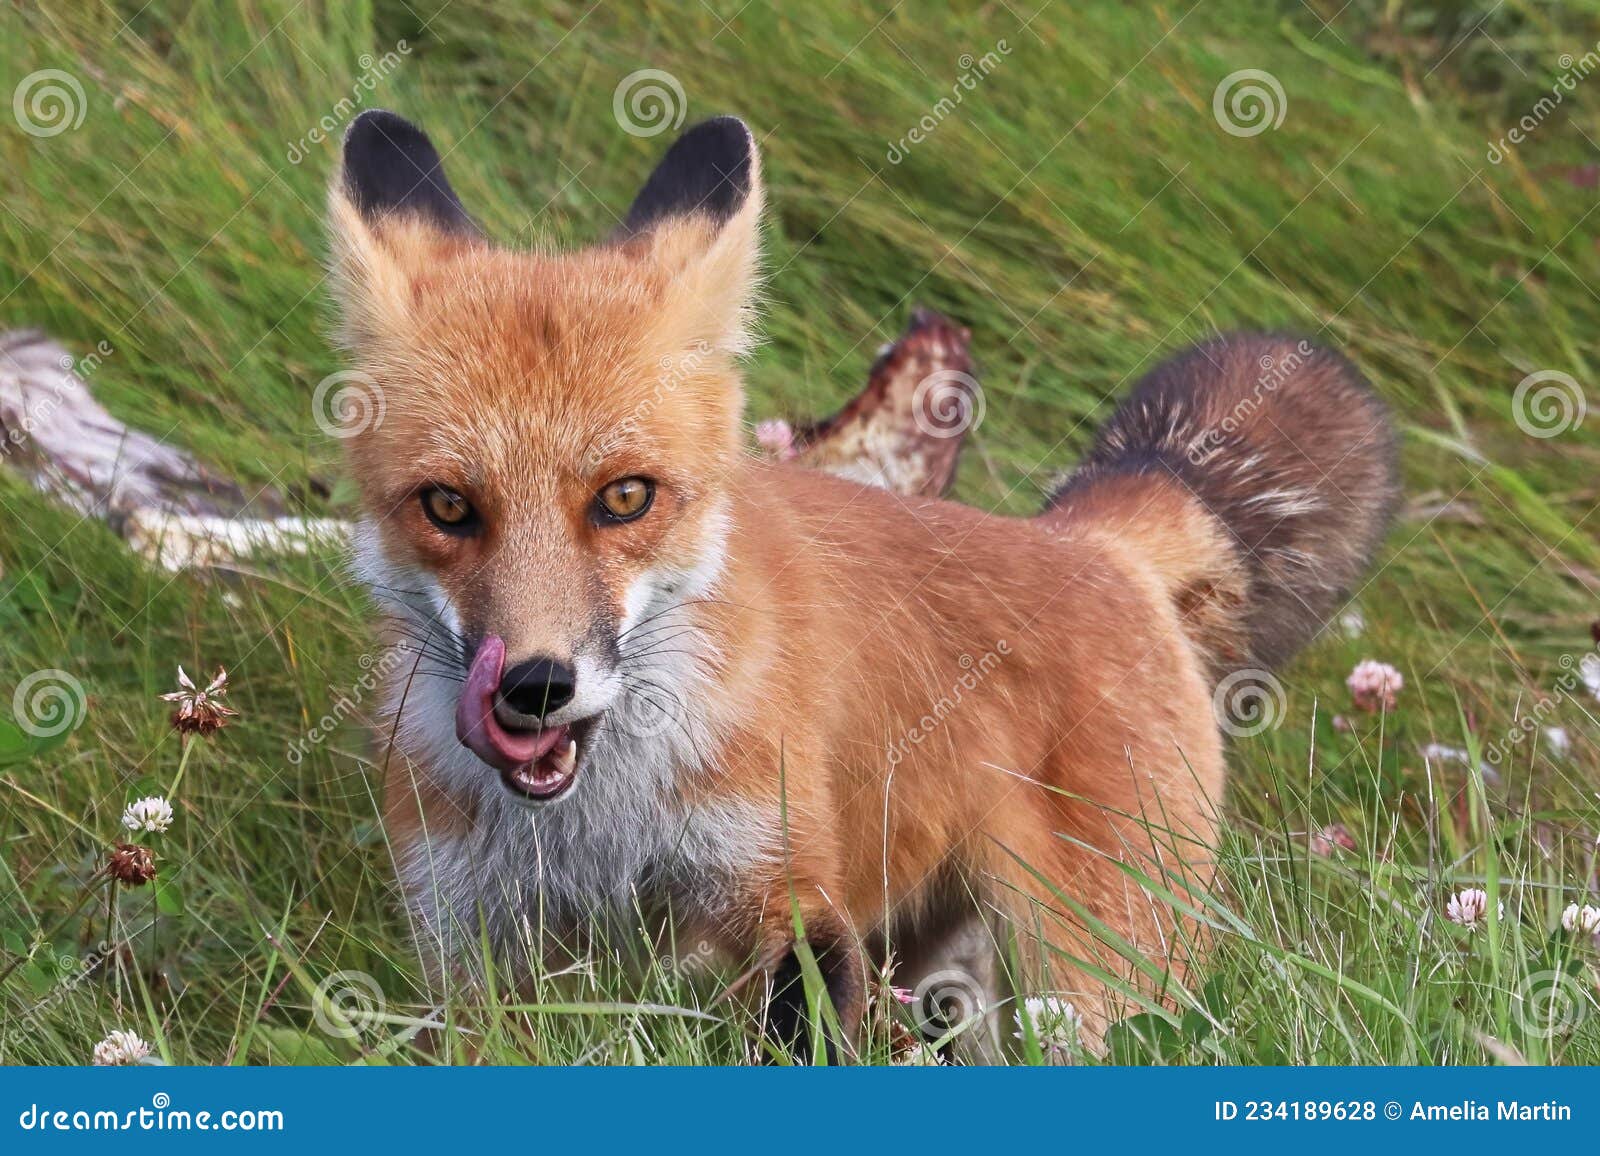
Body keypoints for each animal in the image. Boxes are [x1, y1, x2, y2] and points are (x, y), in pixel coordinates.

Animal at [329, 108, 1397, 1057]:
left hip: (1098, 979)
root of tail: (1094, 539)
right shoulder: (469, 940)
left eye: (625, 498)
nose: (536, 686)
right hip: (945, 967)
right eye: (449, 507)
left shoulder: (789, 890)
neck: (599, 823)